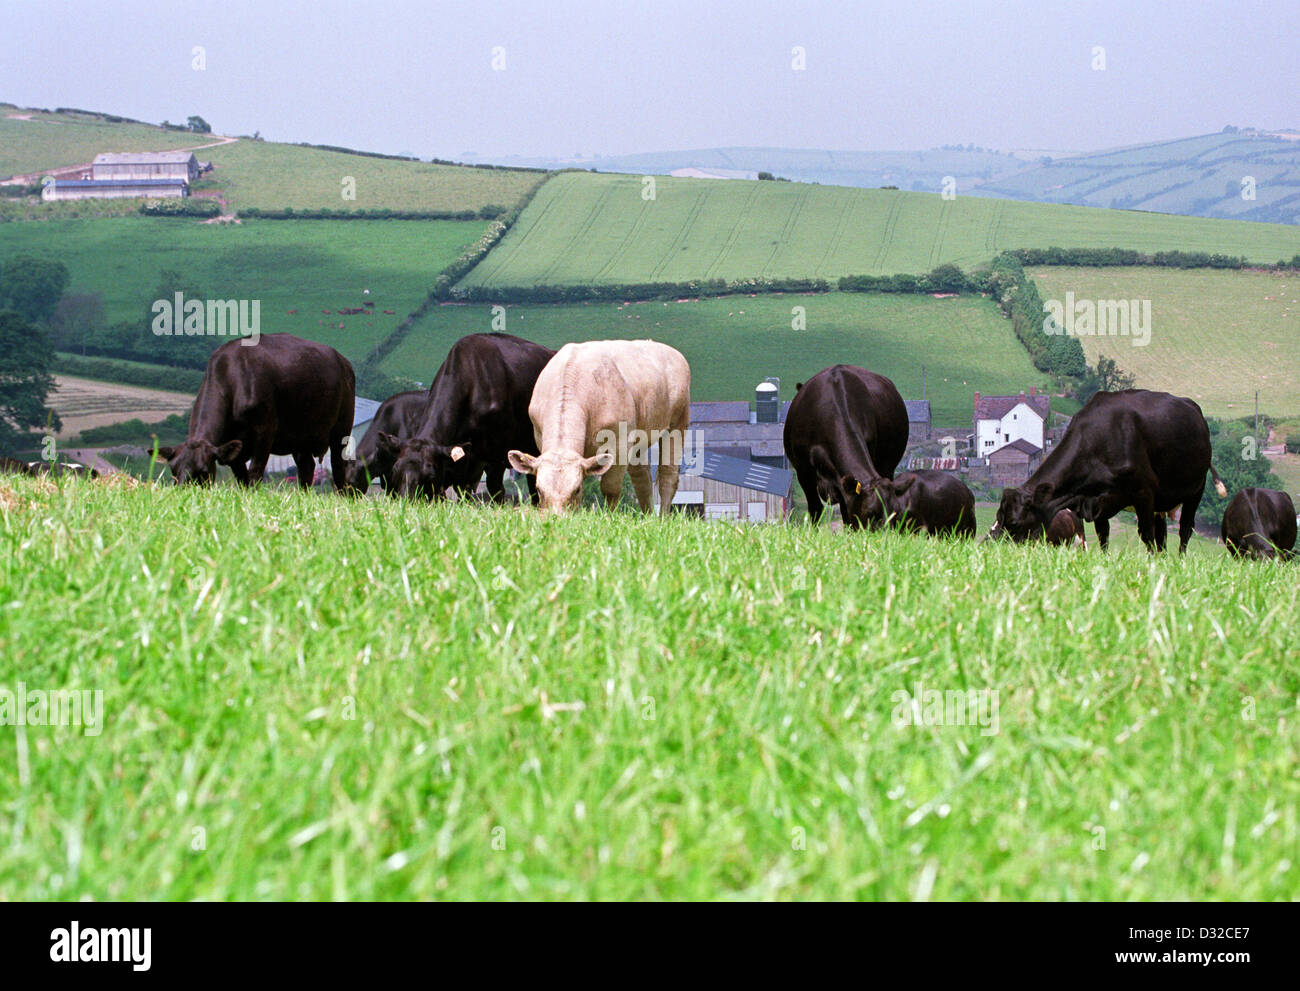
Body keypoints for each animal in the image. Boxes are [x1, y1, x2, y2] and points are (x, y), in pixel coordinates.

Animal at [155, 334, 355, 488]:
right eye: (173, 470)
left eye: (203, 471)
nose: (183, 490)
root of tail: (343, 361)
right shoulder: (234, 449)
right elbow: (242, 479)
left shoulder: (264, 432)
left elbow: (255, 473)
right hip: (301, 436)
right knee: (306, 467)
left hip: (341, 428)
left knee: (338, 467)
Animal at [507, 339, 691, 514]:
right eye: (539, 490)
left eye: (577, 489)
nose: (557, 518)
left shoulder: (620, 443)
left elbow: (610, 488)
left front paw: (610, 518)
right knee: (642, 478)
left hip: (677, 423)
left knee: (668, 476)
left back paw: (663, 518)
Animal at [783, 365, 909, 527]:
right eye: (870, 512)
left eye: (894, 511)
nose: (885, 532)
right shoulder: (803, 471)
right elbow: (816, 509)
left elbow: (845, 511)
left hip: (888, 467)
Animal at [988, 389, 1225, 553]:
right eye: (999, 517)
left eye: (1014, 523)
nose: (999, 549)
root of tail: (1193, 407)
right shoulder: (1095, 502)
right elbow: (1104, 538)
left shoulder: (1144, 492)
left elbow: (1146, 534)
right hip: (1163, 502)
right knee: (1163, 535)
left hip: (1196, 489)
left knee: (1185, 529)